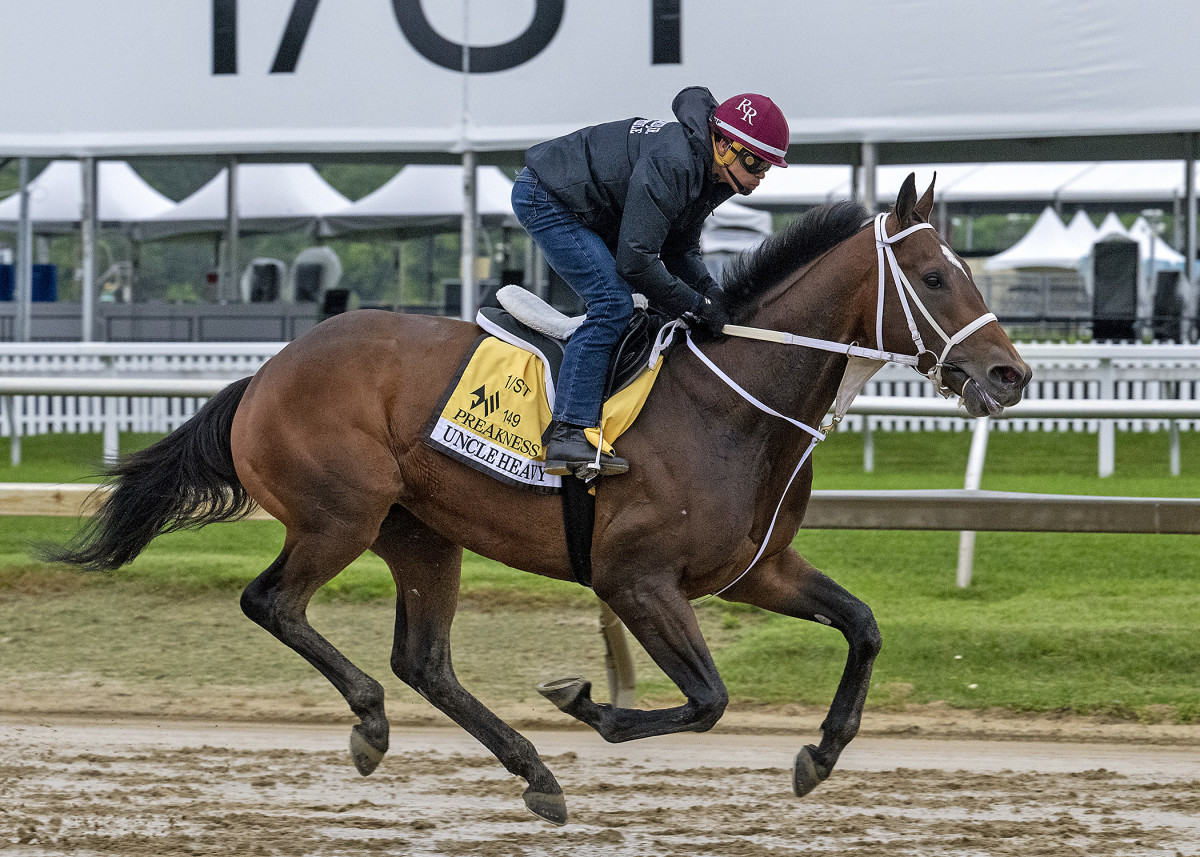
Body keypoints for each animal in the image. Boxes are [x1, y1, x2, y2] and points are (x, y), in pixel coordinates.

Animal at [45, 174, 1031, 825]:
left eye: (968, 271)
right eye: (937, 278)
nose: (1009, 375)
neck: (733, 403)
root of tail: (265, 374)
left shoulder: (756, 569)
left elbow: (863, 626)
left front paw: (821, 754)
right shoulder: (634, 579)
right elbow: (708, 697)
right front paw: (586, 702)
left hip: (421, 534)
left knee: (425, 660)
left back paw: (530, 771)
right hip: (339, 515)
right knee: (274, 603)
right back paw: (373, 721)